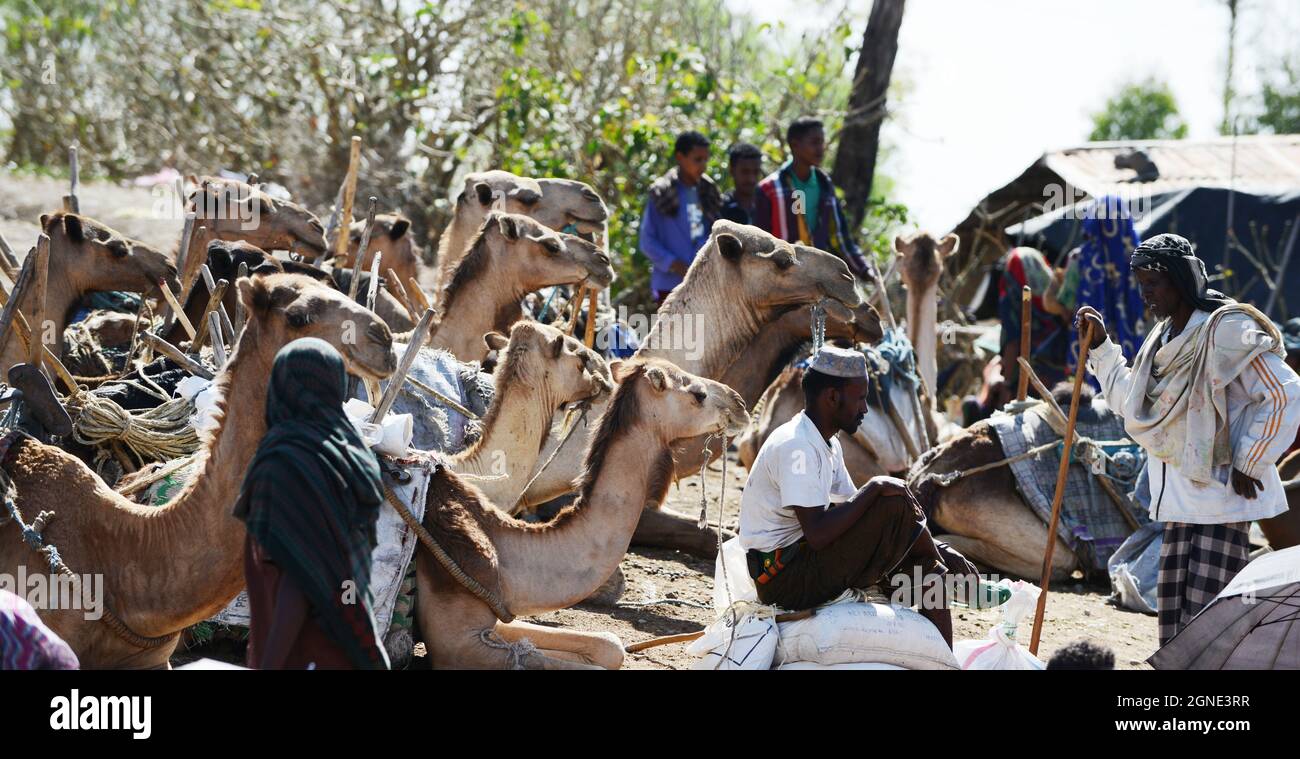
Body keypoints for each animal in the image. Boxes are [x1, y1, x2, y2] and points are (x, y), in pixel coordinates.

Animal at [417, 358, 749, 668]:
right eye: (698, 394)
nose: (741, 404)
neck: (505, 553)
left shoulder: (498, 616)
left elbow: (610, 645)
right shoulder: (458, 644)